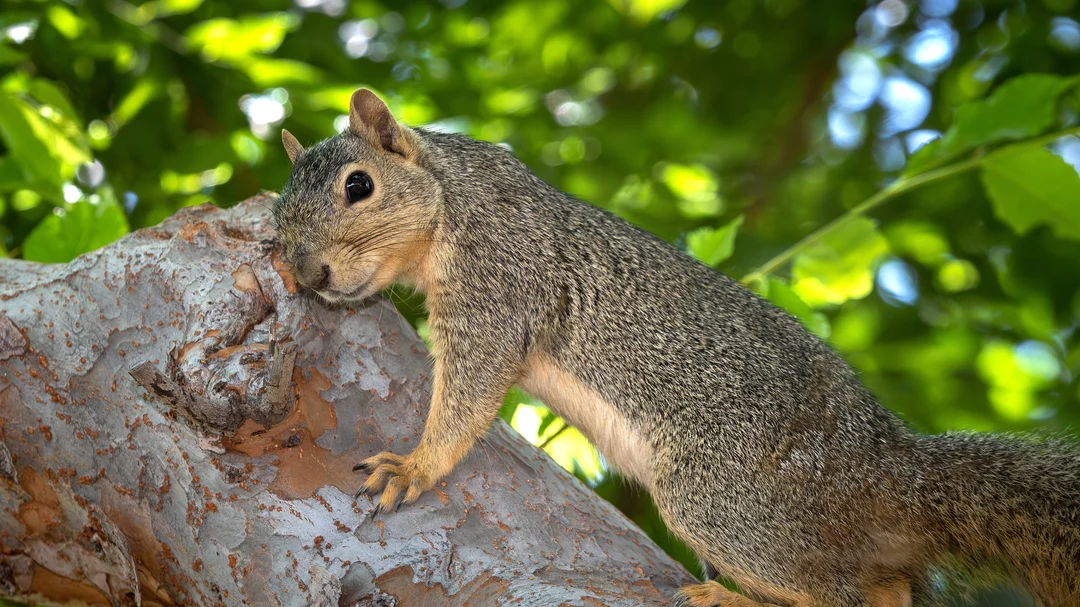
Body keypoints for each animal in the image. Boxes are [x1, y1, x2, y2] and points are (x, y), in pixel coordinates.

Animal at [273, 89, 1080, 607]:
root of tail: (885, 469)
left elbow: (470, 391)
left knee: (834, 594)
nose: (309, 272)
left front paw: (414, 465)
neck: (452, 199)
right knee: (883, 587)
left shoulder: (499, 281)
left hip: (721, 497)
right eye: (280, 217)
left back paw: (735, 601)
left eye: (358, 186)